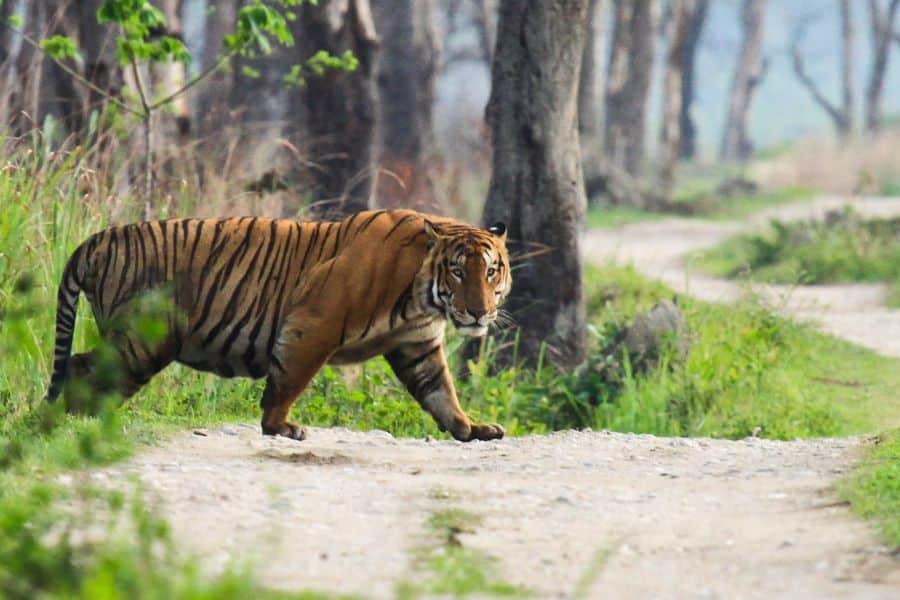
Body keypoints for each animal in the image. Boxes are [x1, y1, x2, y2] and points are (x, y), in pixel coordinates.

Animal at [46, 209, 512, 442]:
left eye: (491, 272)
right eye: (458, 272)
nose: (479, 312)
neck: (422, 298)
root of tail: (96, 241)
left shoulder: (418, 345)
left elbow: (441, 392)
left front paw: (470, 429)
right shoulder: (315, 323)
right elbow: (290, 380)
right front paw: (280, 427)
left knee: (84, 367)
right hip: (144, 341)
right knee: (82, 368)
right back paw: (72, 424)